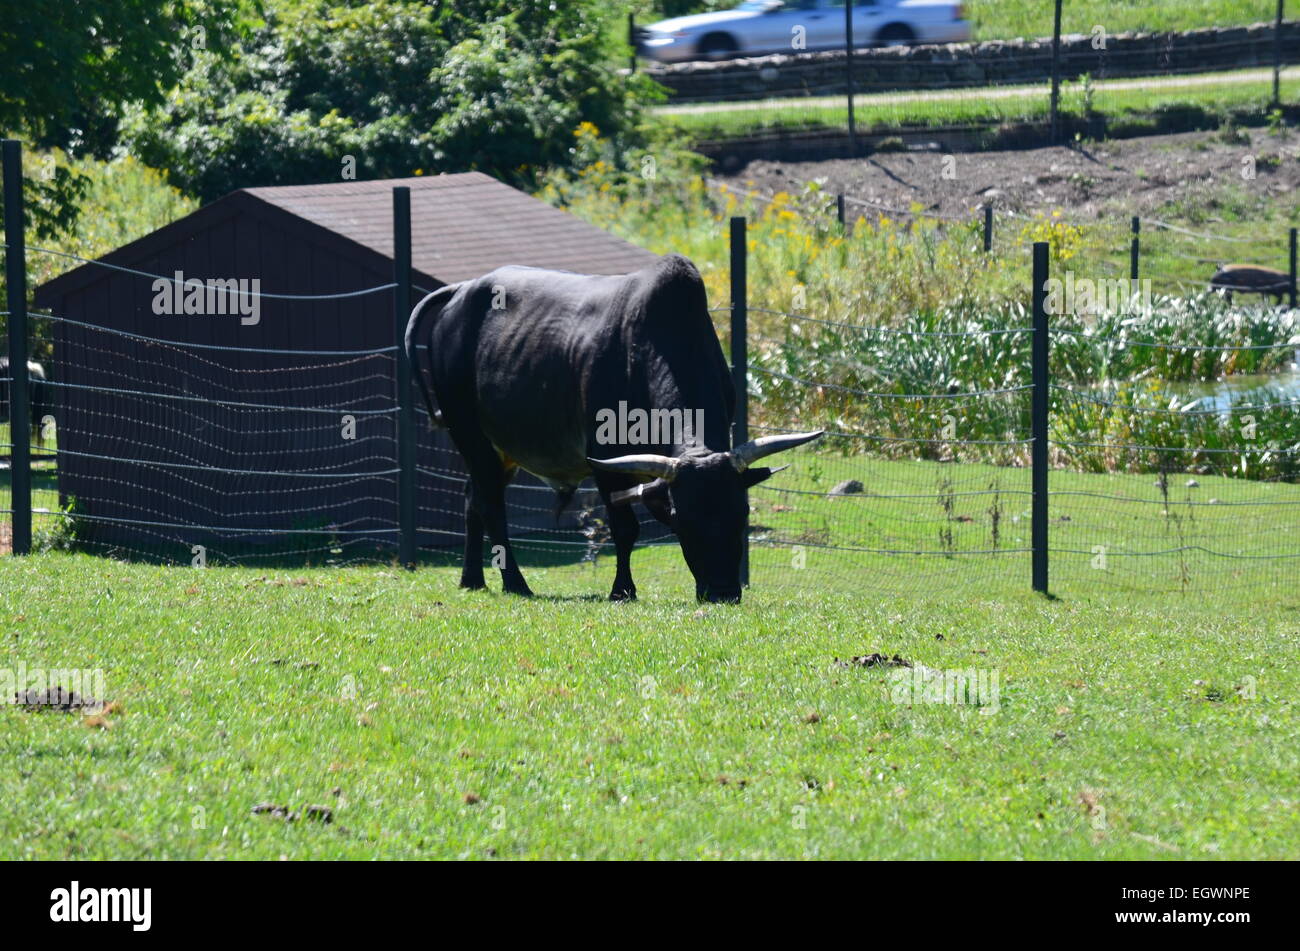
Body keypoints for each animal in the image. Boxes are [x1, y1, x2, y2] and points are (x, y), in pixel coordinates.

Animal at [406, 253, 822, 603]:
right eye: (686, 522)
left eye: (742, 514)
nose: (722, 592)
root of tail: (463, 289)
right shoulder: (606, 462)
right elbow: (625, 529)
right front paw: (622, 590)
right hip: (468, 432)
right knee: (490, 504)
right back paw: (515, 583)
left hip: (497, 448)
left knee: (472, 498)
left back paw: (472, 579)